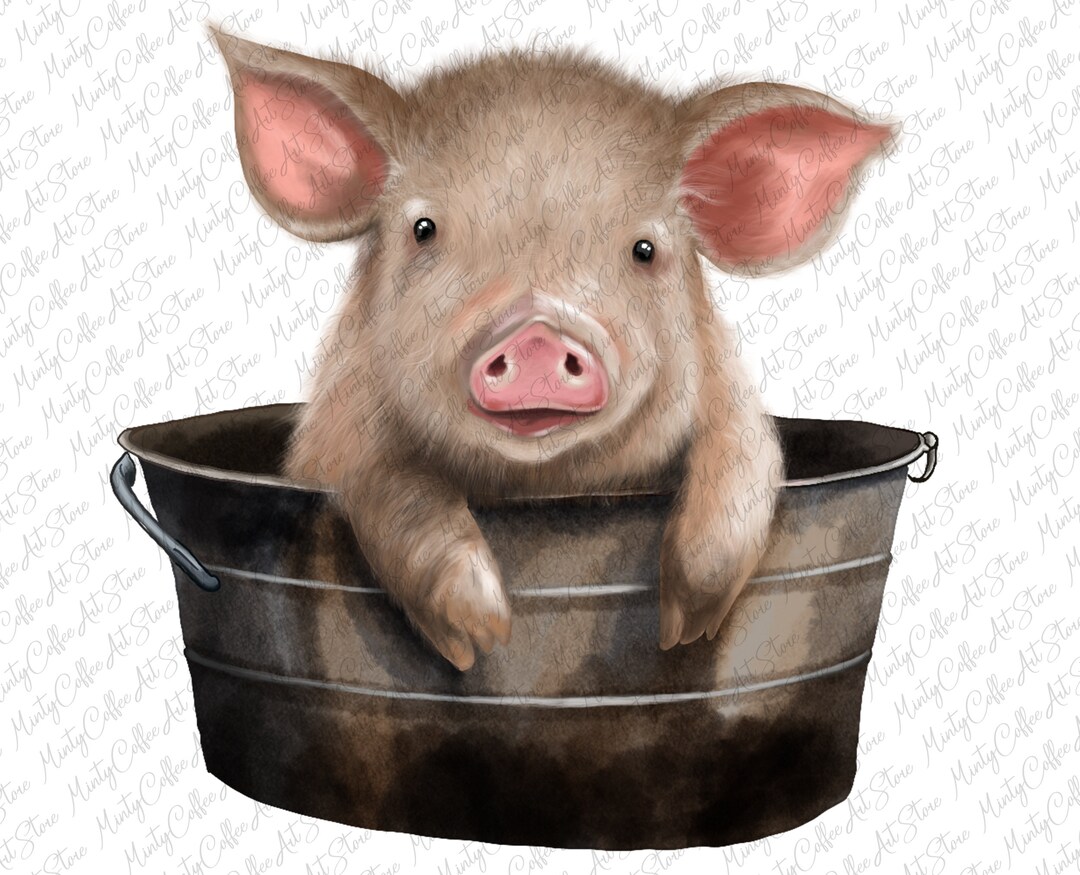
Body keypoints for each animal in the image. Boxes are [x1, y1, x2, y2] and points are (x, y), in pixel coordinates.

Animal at [211, 28, 897, 670]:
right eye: (423, 229)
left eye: (644, 248)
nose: (537, 333)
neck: (541, 484)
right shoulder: (335, 438)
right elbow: (396, 484)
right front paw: (484, 638)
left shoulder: (726, 393)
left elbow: (744, 462)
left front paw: (685, 631)